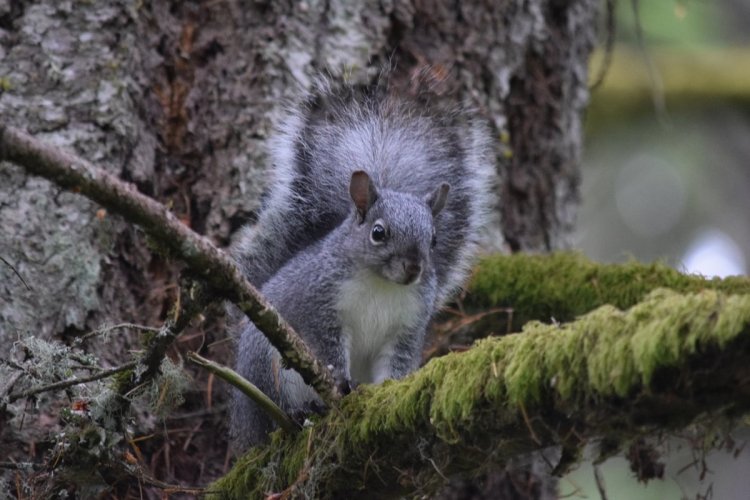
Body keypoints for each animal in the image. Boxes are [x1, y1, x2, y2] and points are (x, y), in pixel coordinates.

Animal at [229, 78, 495, 450]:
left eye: (434, 239)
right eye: (378, 233)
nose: (413, 268)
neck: (381, 284)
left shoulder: (407, 326)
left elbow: (396, 363)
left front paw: (390, 392)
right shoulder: (320, 306)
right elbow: (328, 349)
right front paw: (341, 379)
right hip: (264, 364)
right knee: (273, 412)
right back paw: (297, 413)